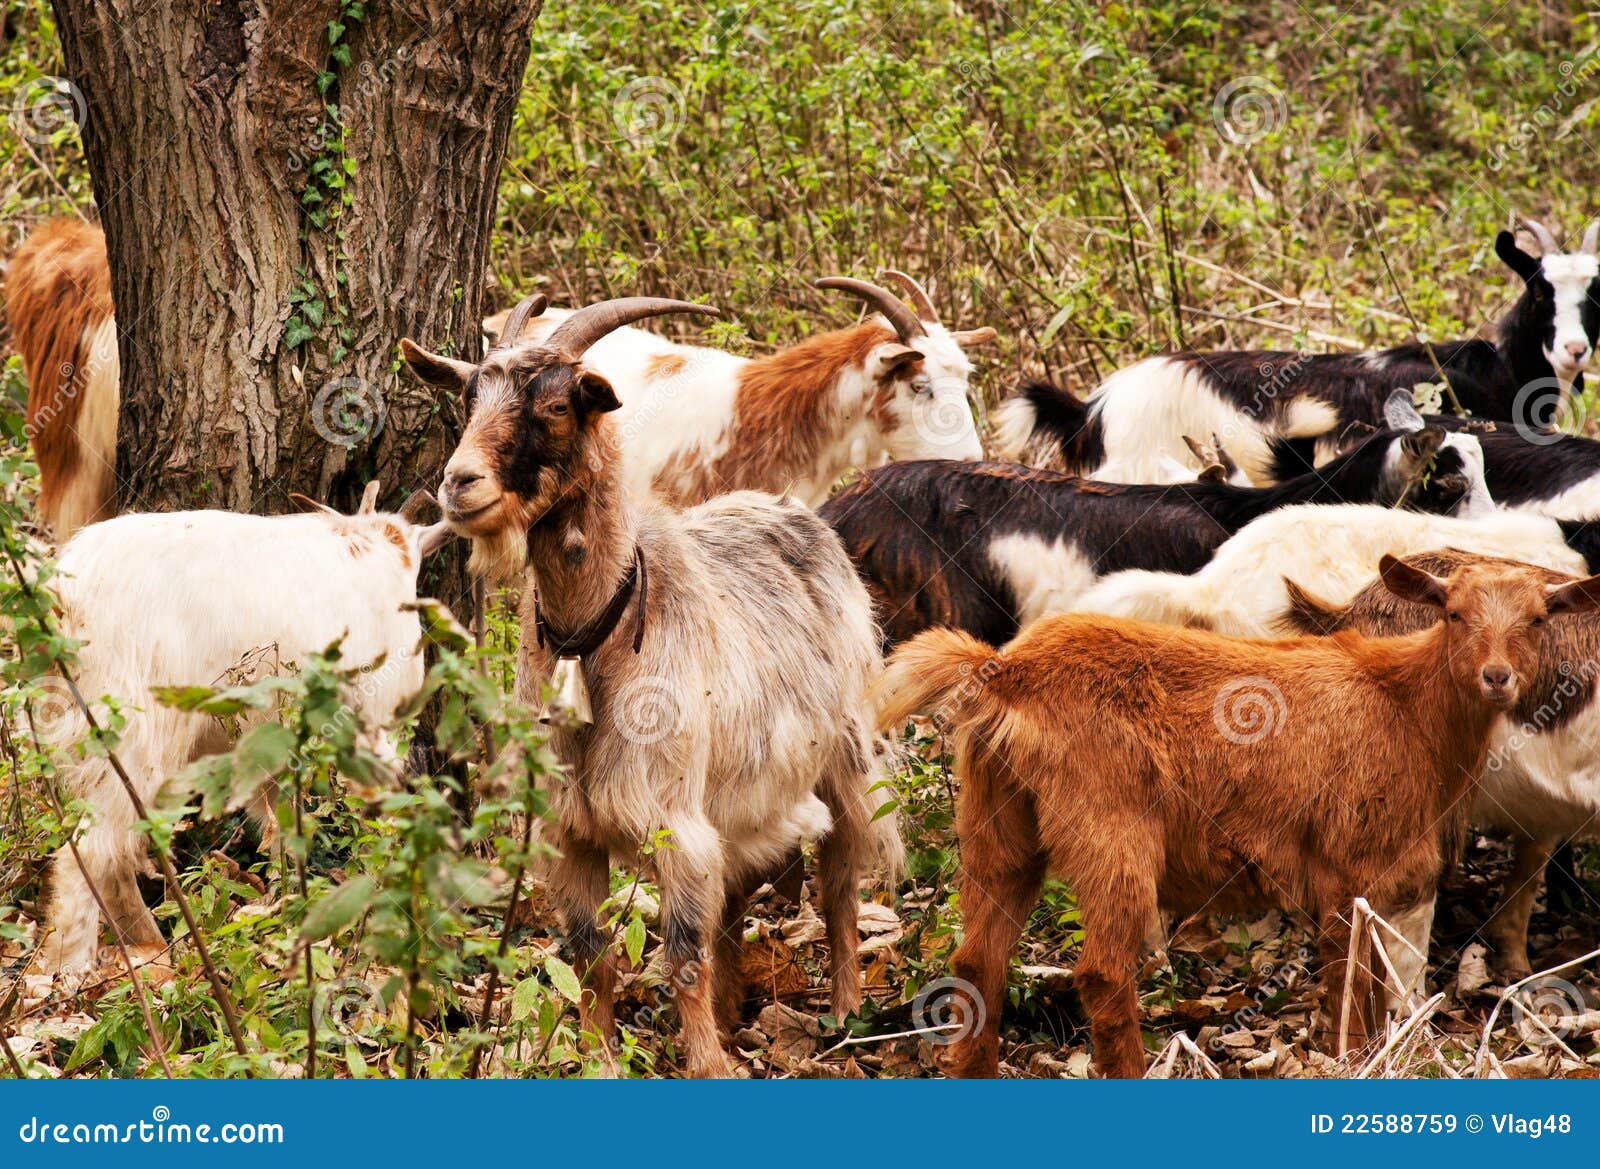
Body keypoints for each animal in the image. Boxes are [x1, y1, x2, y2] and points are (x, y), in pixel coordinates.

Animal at [29, 485, 453, 976]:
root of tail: (66, 597)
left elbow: (280, 827)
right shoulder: (374, 727)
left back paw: (150, 946)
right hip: (135, 733)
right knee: (94, 848)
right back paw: (68, 965)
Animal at [400, 294, 899, 1077]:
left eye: (559, 404)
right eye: (470, 397)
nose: (459, 484)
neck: (598, 636)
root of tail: (791, 509)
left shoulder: (675, 822)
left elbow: (683, 955)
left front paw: (709, 1065)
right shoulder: (571, 833)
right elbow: (591, 956)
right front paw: (602, 1057)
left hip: (845, 757)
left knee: (841, 880)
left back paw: (848, 1011)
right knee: (739, 893)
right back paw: (735, 1008)